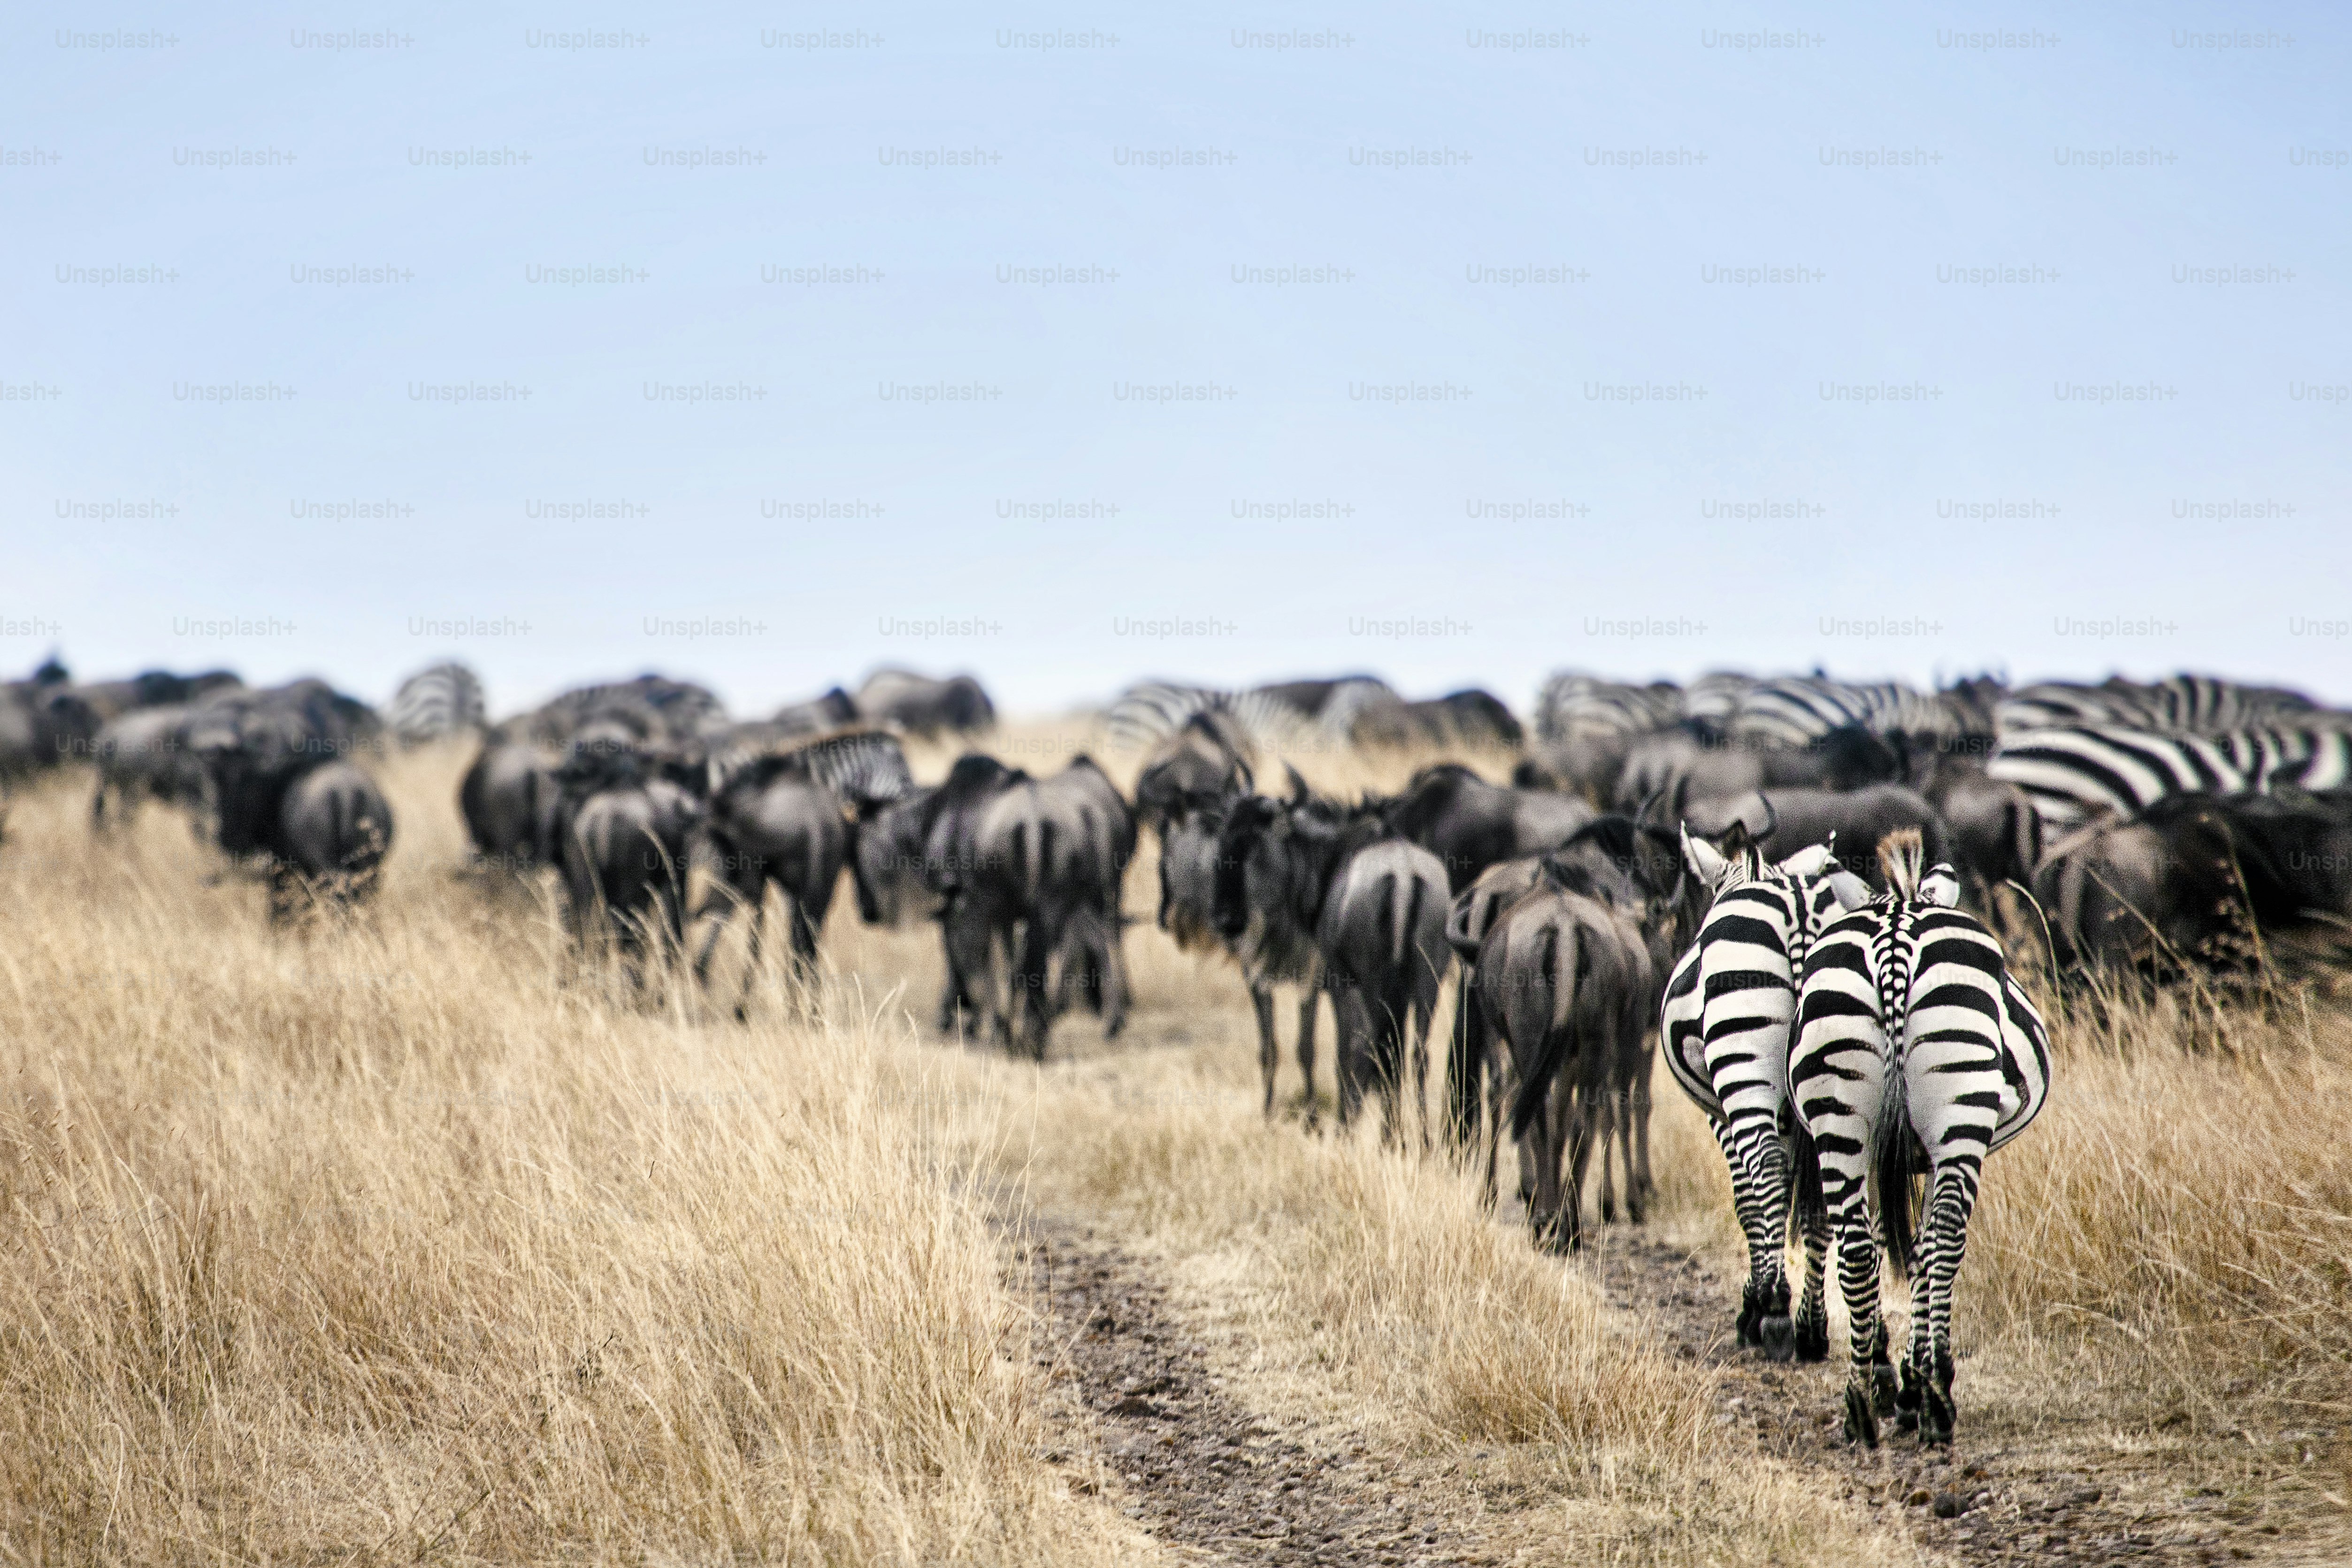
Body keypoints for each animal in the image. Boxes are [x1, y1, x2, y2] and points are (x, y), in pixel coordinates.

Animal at [1660, 805, 1865, 1360]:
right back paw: (1811, 1329)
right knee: (1827, 1189)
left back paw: (1771, 1312)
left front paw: (1754, 1303)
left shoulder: (1721, 1110)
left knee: (1767, 1165)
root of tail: (1798, 906)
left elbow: (1747, 1198)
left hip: (1742, 1063)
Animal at [1790, 829, 2052, 1448]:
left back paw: (1861, 1407)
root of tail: (1896, 932)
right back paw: (1932, 1402)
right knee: (1947, 1239)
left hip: (1840, 1115)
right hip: (1958, 1114)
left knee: (1860, 1249)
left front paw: (1901, 1380)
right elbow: (1925, 1247)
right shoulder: (1932, 1155)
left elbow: (1904, 1244)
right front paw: (1918, 1378)